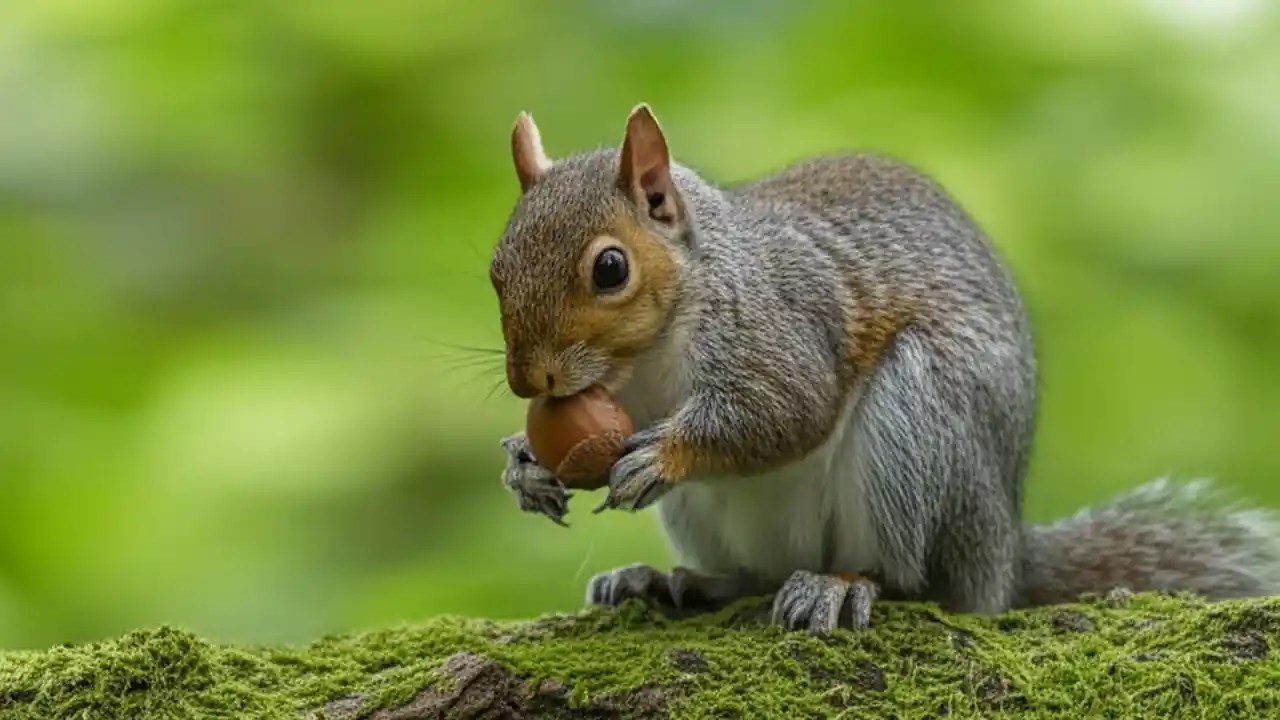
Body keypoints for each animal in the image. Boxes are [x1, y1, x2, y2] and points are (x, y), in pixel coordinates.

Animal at [489, 104, 1280, 634]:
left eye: (611, 269)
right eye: (495, 268)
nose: (531, 383)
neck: (646, 358)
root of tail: (1004, 559)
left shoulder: (784, 324)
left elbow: (787, 410)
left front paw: (665, 452)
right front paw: (526, 465)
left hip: (918, 426)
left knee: (915, 582)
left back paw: (845, 585)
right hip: (711, 518)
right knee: (751, 575)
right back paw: (669, 583)